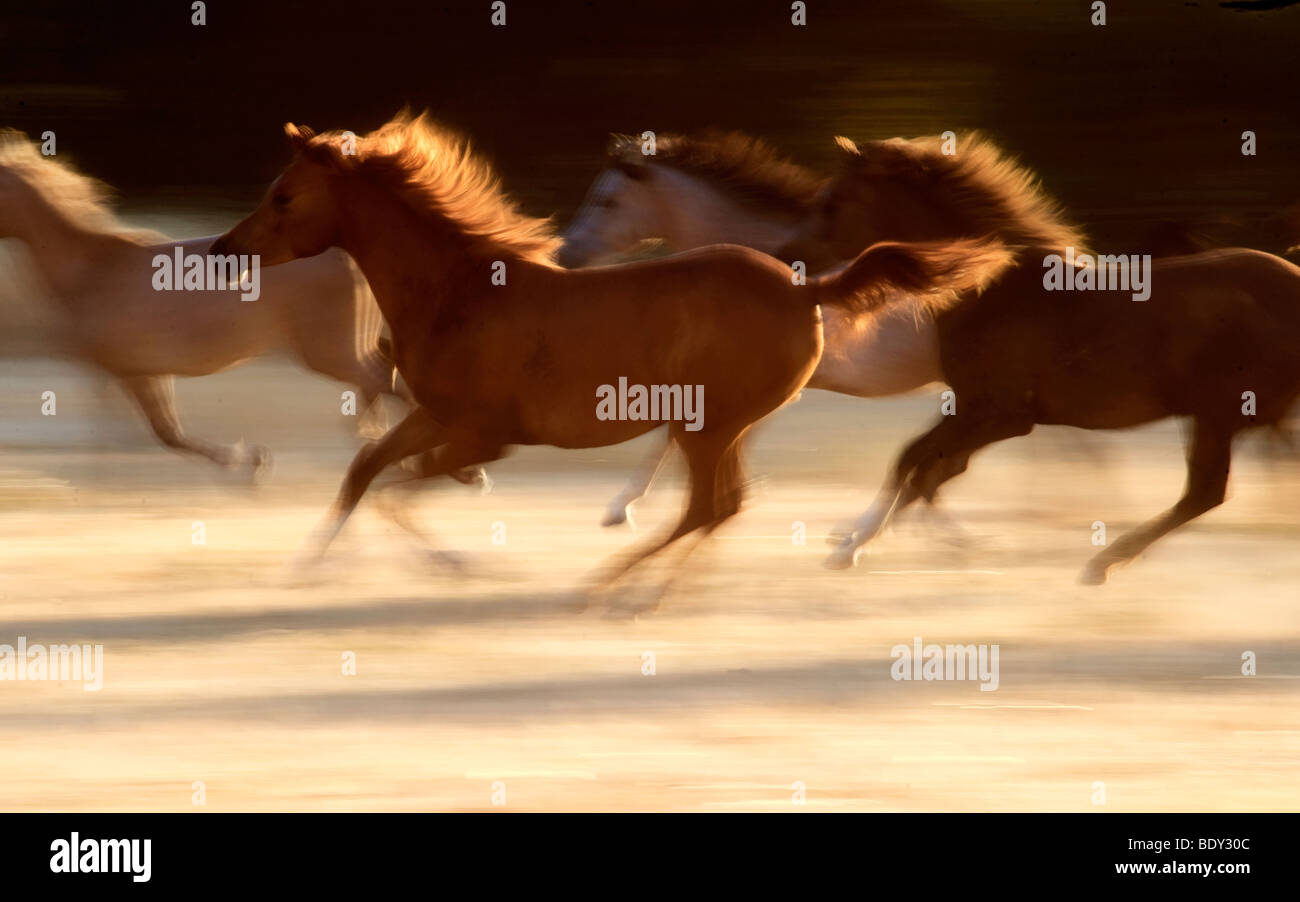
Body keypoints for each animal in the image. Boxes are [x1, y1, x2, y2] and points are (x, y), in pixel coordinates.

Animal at [0, 129, 401, 476]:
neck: (91, 269)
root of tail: (351, 254)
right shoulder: (129, 373)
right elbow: (139, 435)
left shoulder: (138, 372)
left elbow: (166, 435)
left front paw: (250, 462)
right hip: (349, 349)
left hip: (334, 353)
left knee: (384, 380)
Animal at [208, 111, 1012, 603]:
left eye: (284, 197)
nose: (221, 250)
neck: (458, 294)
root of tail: (809, 285)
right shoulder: (435, 418)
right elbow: (363, 474)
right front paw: (307, 565)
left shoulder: (481, 435)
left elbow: (398, 487)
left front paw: (455, 562)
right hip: (726, 426)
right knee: (726, 506)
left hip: (706, 425)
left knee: (709, 505)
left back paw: (612, 592)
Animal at [779, 133, 1300, 583]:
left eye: (830, 204)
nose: (789, 260)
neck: (993, 291)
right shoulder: (975, 409)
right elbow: (923, 465)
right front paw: (854, 541)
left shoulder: (1000, 413)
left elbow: (916, 463)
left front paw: (849, 547)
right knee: (1212, 491)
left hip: (1217, 414)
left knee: (1203, 493)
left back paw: (1101, 565)